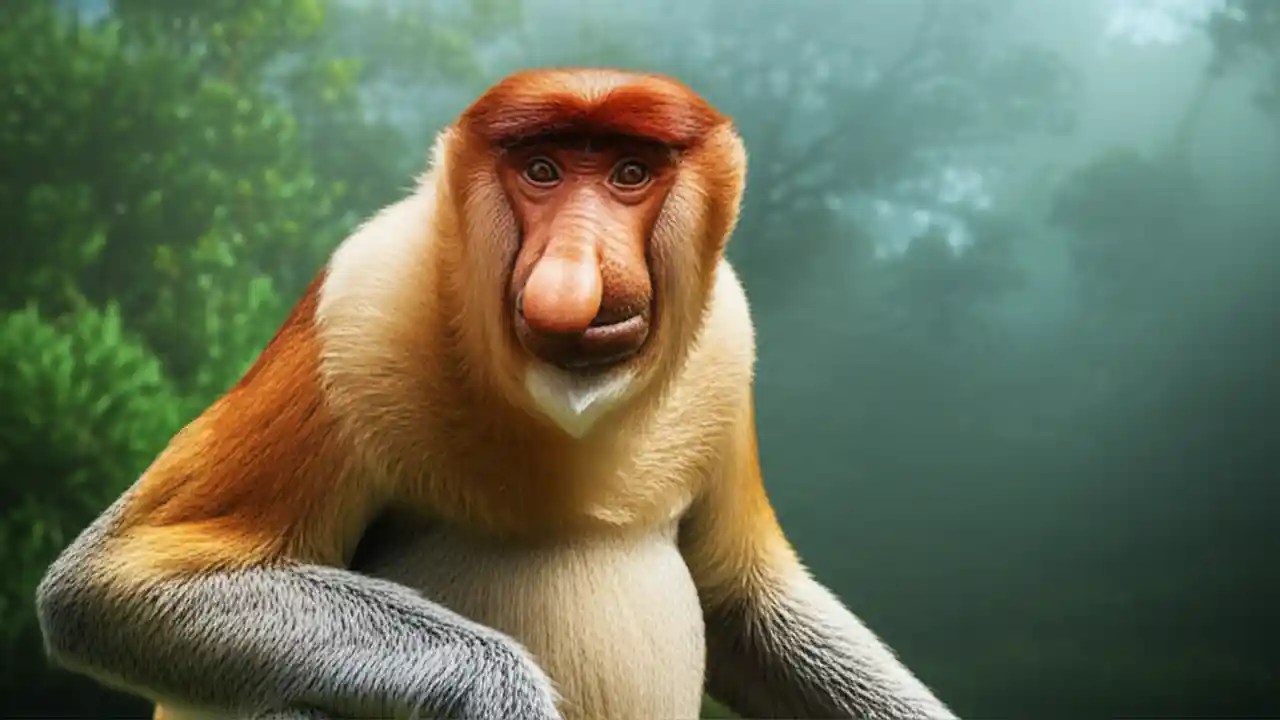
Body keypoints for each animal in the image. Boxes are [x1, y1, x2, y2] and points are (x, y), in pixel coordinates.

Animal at [36, 68, 955, 720]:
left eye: (629, 172)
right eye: (541, 170)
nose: (572, 280)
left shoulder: (726, 349)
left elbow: (743, 602)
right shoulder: (358, 309)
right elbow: (108, 588)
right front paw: (503, 696)